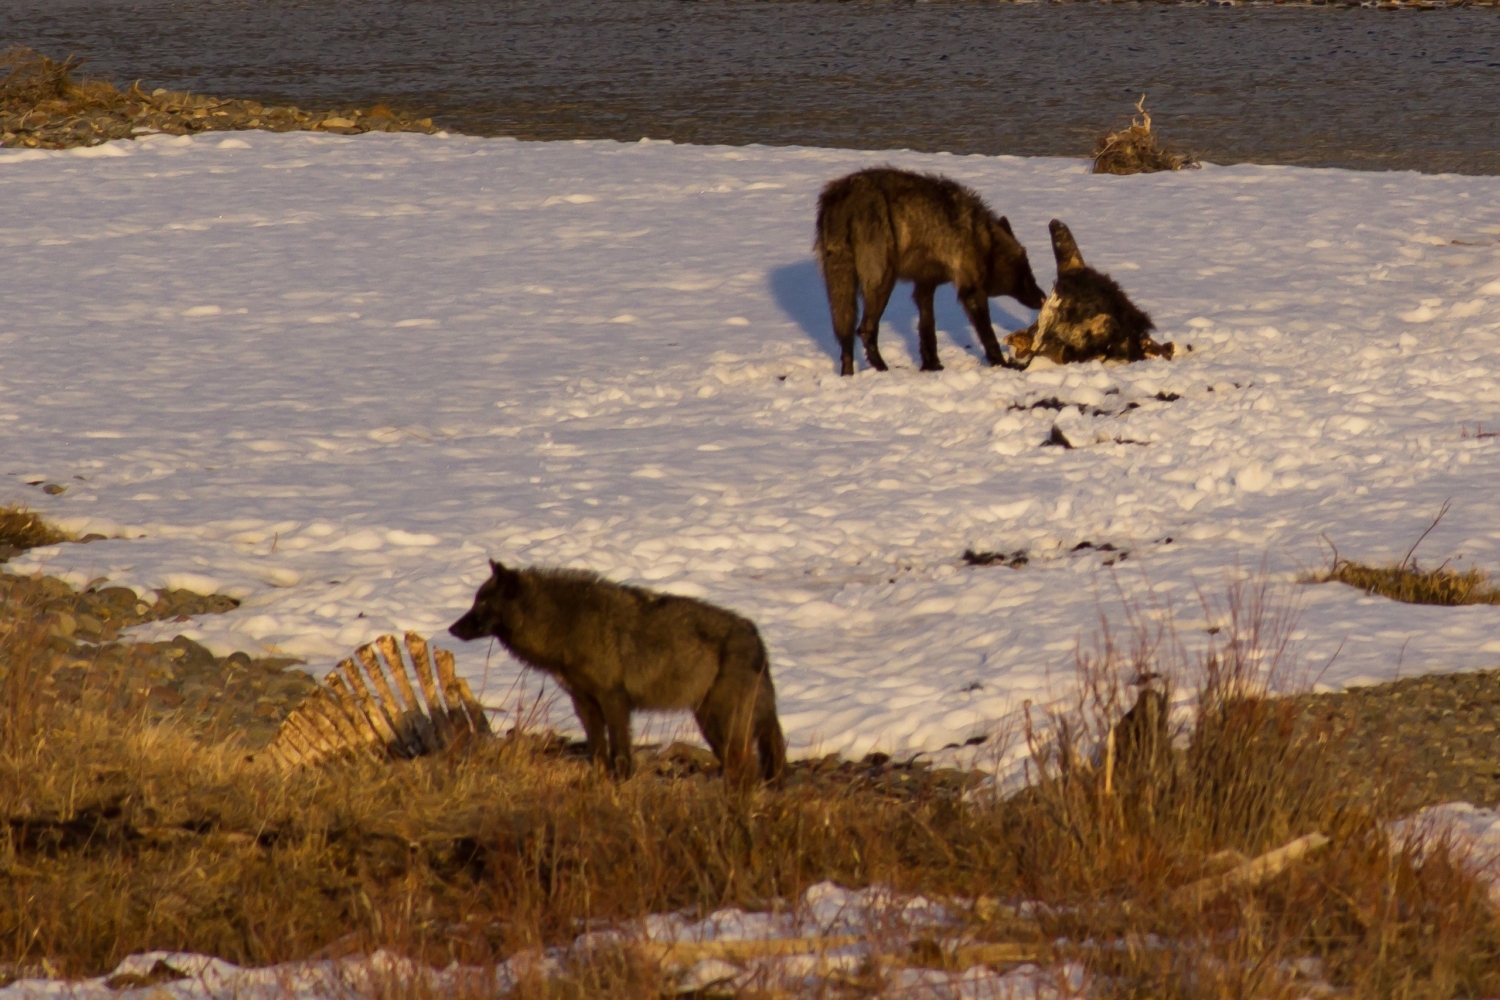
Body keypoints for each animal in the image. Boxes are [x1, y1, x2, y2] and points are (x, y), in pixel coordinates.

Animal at [448, 560, 787, 783]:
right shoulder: (584, 703)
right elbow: (597, 753)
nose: (451, 629)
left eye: (481, 604)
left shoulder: (613, 699)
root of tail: (757, 637)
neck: (565, 625)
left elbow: (621, 753)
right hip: (710, 724)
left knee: (746, 768)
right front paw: (598, 784)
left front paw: (620, 785)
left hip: (726, 724)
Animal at [814, 167, 1046, 376]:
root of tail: (845, 197)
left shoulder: (924, 286)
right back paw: (882, 369)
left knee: (846, 334)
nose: (1043, 298)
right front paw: (1001, 363)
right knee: (865, 329)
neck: (980, 237)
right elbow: (987, 334)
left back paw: (849, 375)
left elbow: (927, 330)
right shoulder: (970, 290)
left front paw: (932, 366)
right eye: (1024, 268)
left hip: (842, 284)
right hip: (882, 282)